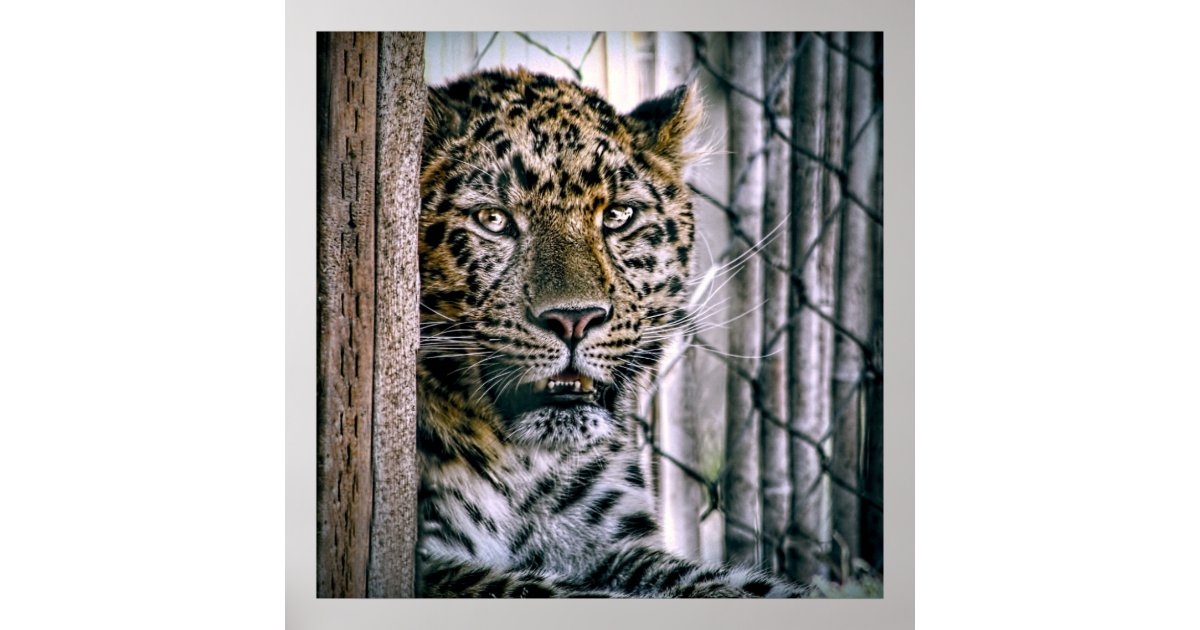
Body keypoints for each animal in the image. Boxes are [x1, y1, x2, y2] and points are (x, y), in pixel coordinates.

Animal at [415, 67, 808, 598]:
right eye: (492, 220)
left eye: (618, 217)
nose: (574, 320)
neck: (523, 469)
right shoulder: (429, 563)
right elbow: (543, 589)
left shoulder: (611, 543)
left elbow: (721, 584)